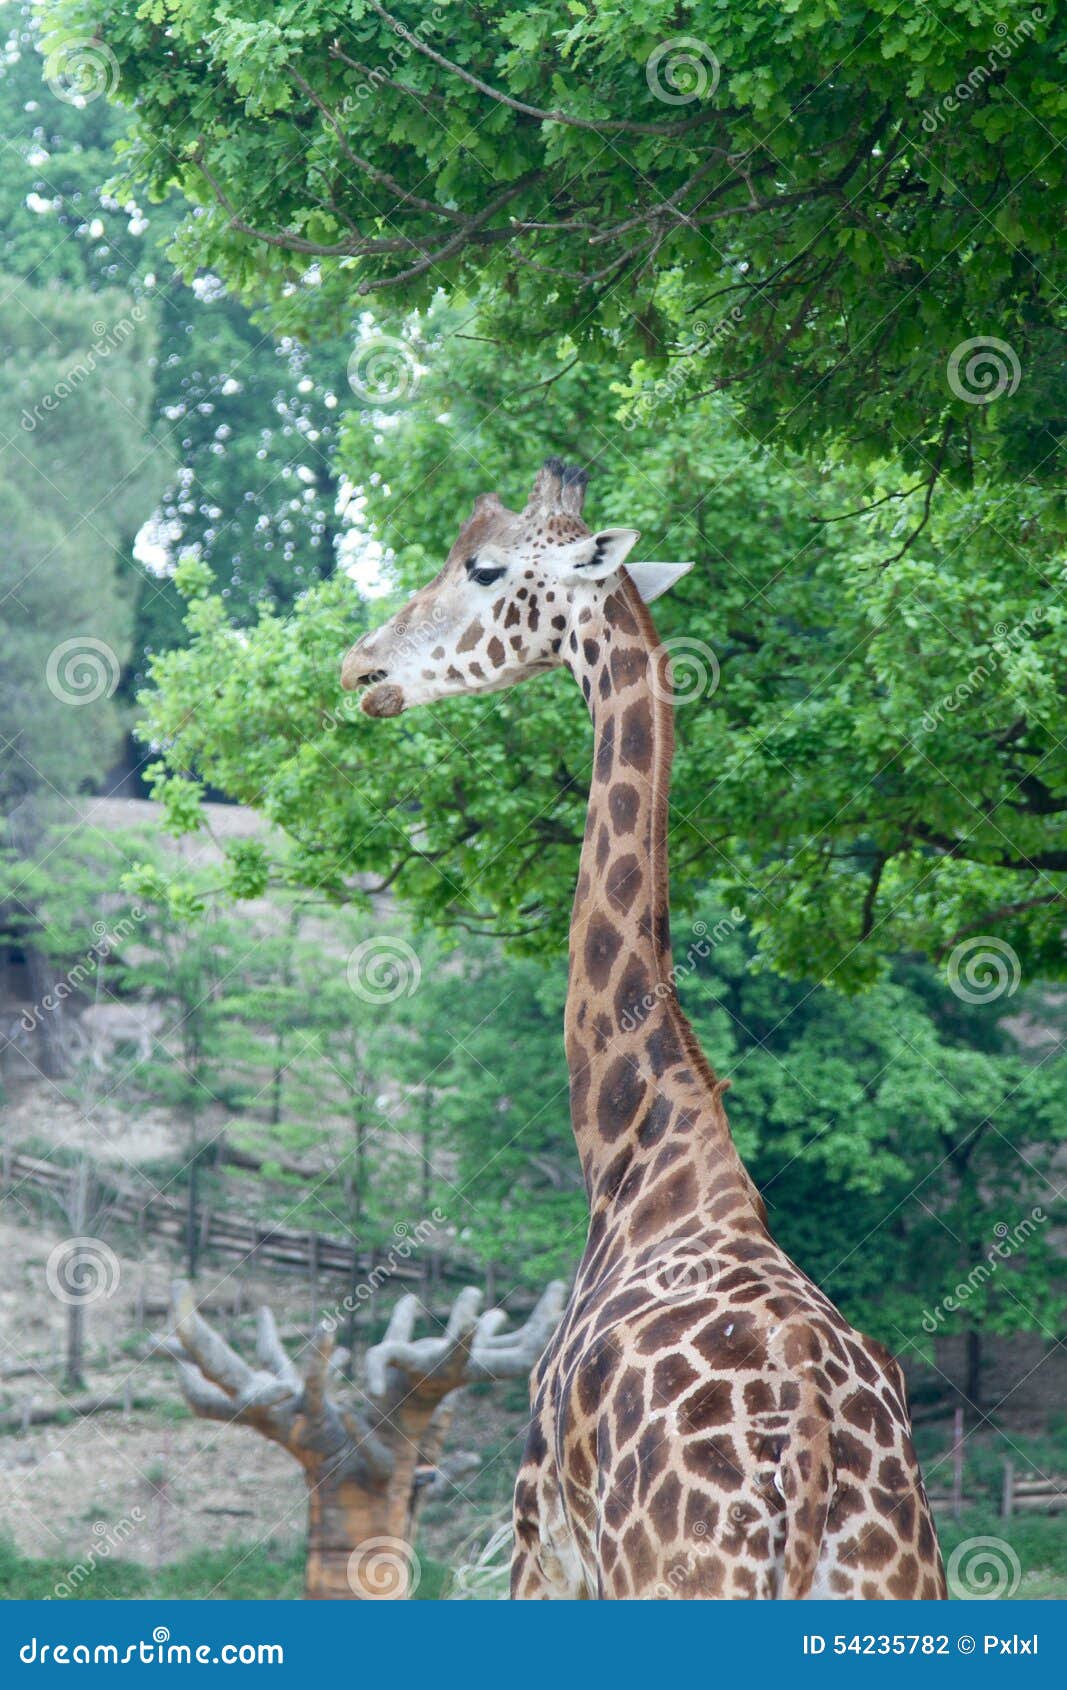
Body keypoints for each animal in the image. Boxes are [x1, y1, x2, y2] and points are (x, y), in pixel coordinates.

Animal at [340, 458, 946, 1601]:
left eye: (483, 567)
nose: (362, 667)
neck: (633, 1150)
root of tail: (808, 1457)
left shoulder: (541, 1539)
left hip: (665, 1574)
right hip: (901, 1582)